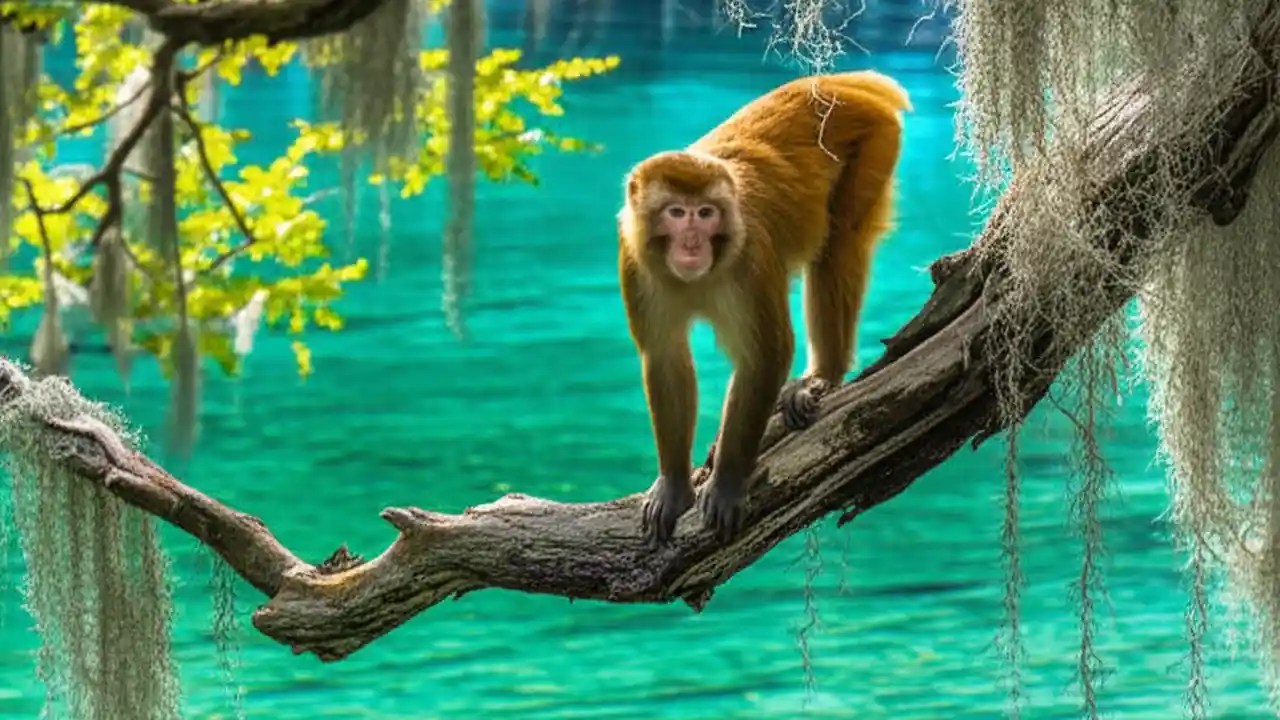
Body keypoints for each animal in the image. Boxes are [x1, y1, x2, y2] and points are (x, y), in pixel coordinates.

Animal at [616, 70, 910, 546]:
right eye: (676, 213)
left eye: (706, 214)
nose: (693, 244)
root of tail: (836, 82)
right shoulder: (633, 260)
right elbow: (664, 357)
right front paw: (675, 485)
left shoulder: (751, 256)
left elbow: (766, 355)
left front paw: (727, 481)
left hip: (876, 139)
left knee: (838, 242)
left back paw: (822, 376)